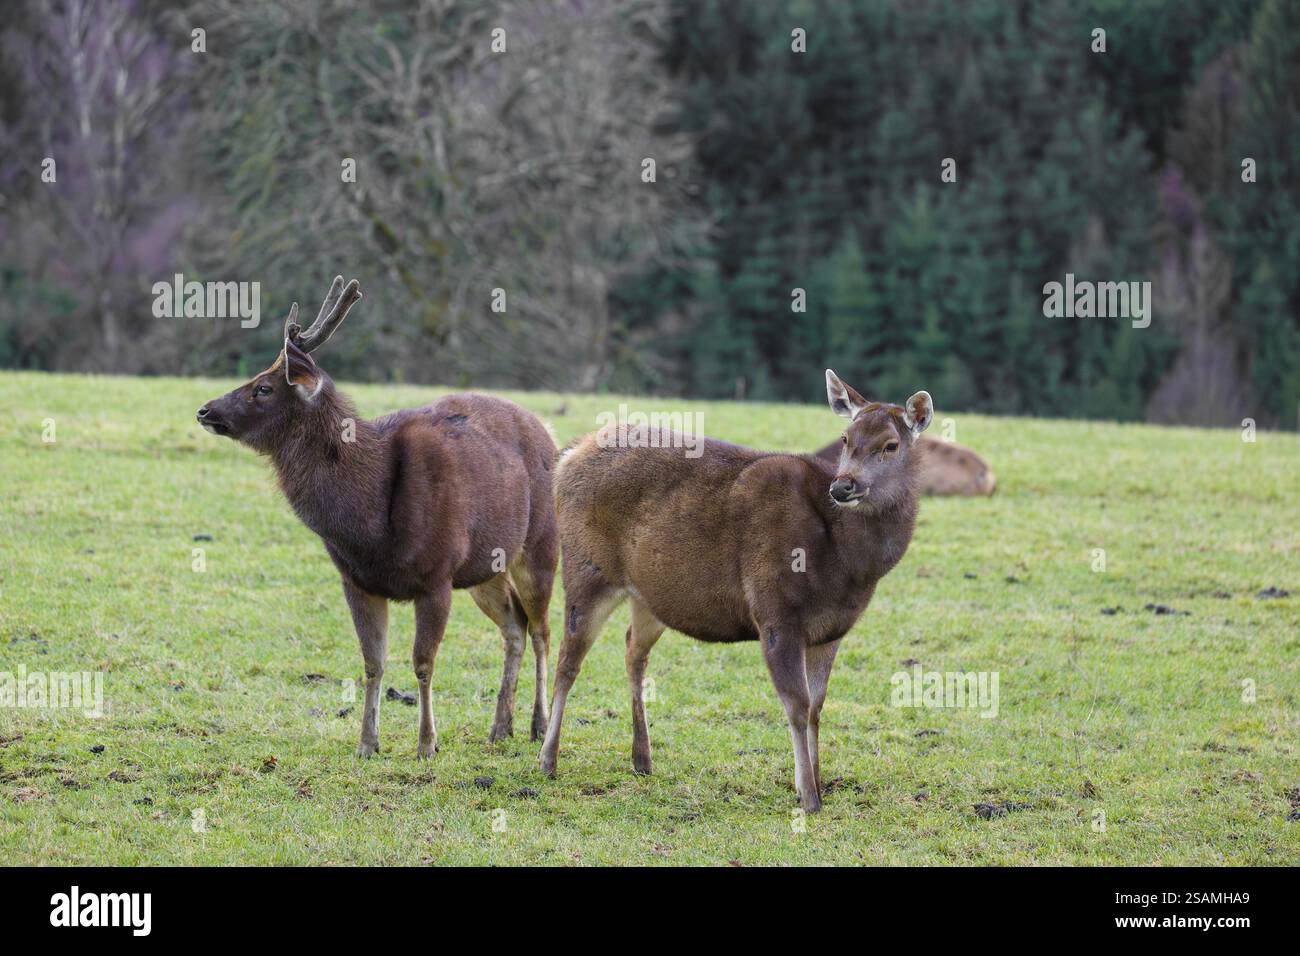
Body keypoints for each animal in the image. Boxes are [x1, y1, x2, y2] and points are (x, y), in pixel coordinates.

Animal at [196, 277, 557, 758]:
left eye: (264, 388)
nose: (205, 410)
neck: (369, 524)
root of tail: (547, 432)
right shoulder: (357, 580)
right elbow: (372, 662)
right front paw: (367, 742)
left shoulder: (437, 574)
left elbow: (423, 662)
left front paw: (426, 744)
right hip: (485, 567)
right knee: (515, 625)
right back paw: (501, 727)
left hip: (541, 544)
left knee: (542, 630)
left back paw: (538, 726)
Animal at [539, 370, 932, 811]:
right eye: (846, 438)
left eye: (891, 444)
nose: (842, 487)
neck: (845, 565)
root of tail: (568, 456)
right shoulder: (776, 613)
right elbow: (797, 705)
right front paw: (807, 796)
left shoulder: (831, 631)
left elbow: (817, 707)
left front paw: (820, 782)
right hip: (587, 569)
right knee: (568, 659)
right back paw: (548, 759)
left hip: (650, 596)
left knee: (632, 651)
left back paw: (642, 759)